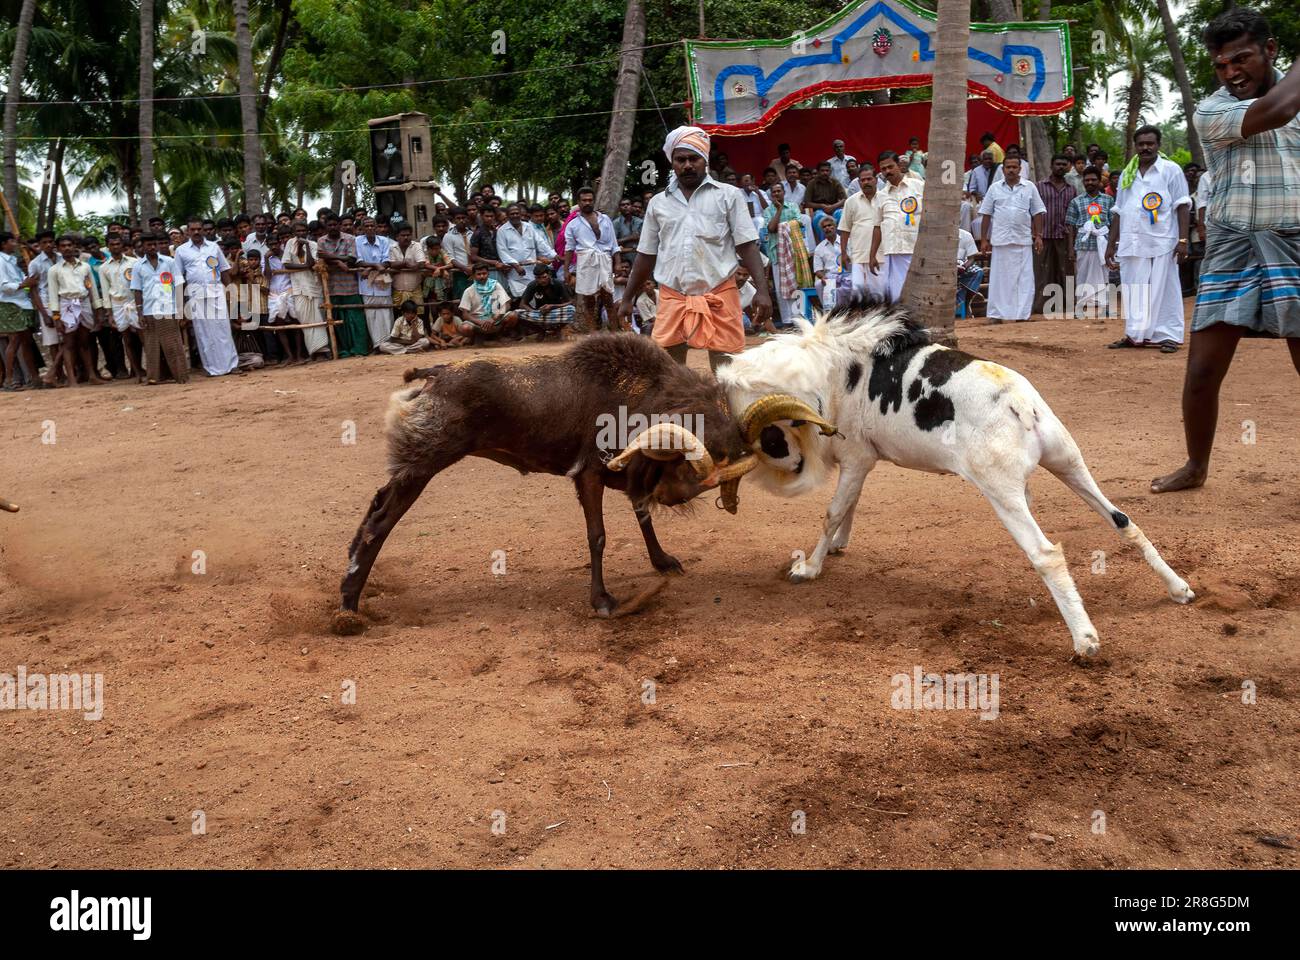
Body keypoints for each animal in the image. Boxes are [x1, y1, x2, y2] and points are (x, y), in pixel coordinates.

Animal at [334, 334, 825, 632]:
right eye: (685, 467)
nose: (673, 497)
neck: (640, 396)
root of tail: (432, 374)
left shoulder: (628, 474)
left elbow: (642, 517)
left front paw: (662, 560)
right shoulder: (588, 474)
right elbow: (598, 536)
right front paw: (602, 599)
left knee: (374, 509)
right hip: (425, 462)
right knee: (380, 521)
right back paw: (349, 604)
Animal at [716, 300, 1194, 658]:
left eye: (768, 438)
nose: (787, 466)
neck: (829, 373)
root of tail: (1021, 405)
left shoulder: (854, 458)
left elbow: (832, 512)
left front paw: (810, 567)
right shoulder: (864, 462)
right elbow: (848, 507)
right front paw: (836, 548)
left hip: (1003, 491)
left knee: (1046, 554)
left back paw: (1086, 639)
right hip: (1068, 463)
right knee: (1124, 522)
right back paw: (1179, 589)